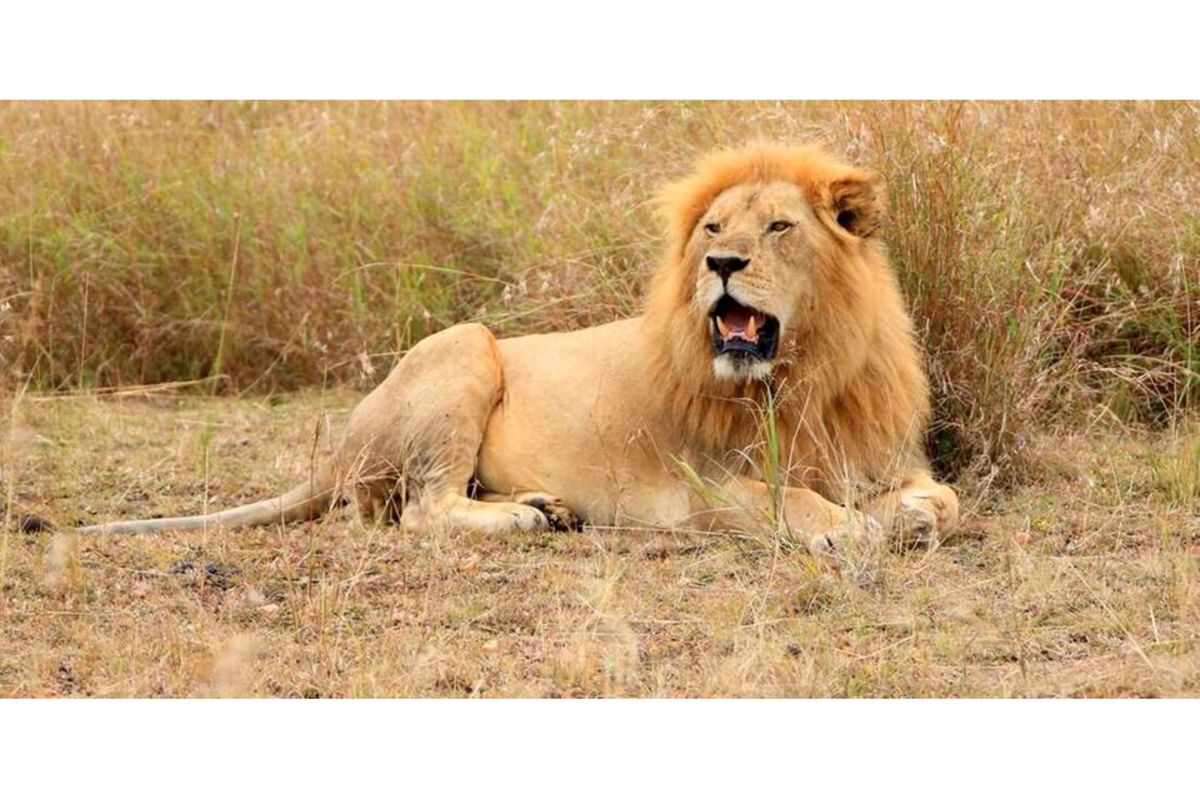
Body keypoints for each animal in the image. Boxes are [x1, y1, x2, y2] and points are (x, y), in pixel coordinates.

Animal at [80, 143, 958, 552]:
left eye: (778, 227)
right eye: (712, 227)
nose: (721, 265)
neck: (803, 372)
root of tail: (335, 453)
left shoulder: (876, 452)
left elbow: (939, 498)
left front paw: (905, 516)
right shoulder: (704, 487)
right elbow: (797, 501)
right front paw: (853, 528)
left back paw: (545, 507)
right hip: (466, 345)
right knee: (422, 510)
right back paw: (526, 519)